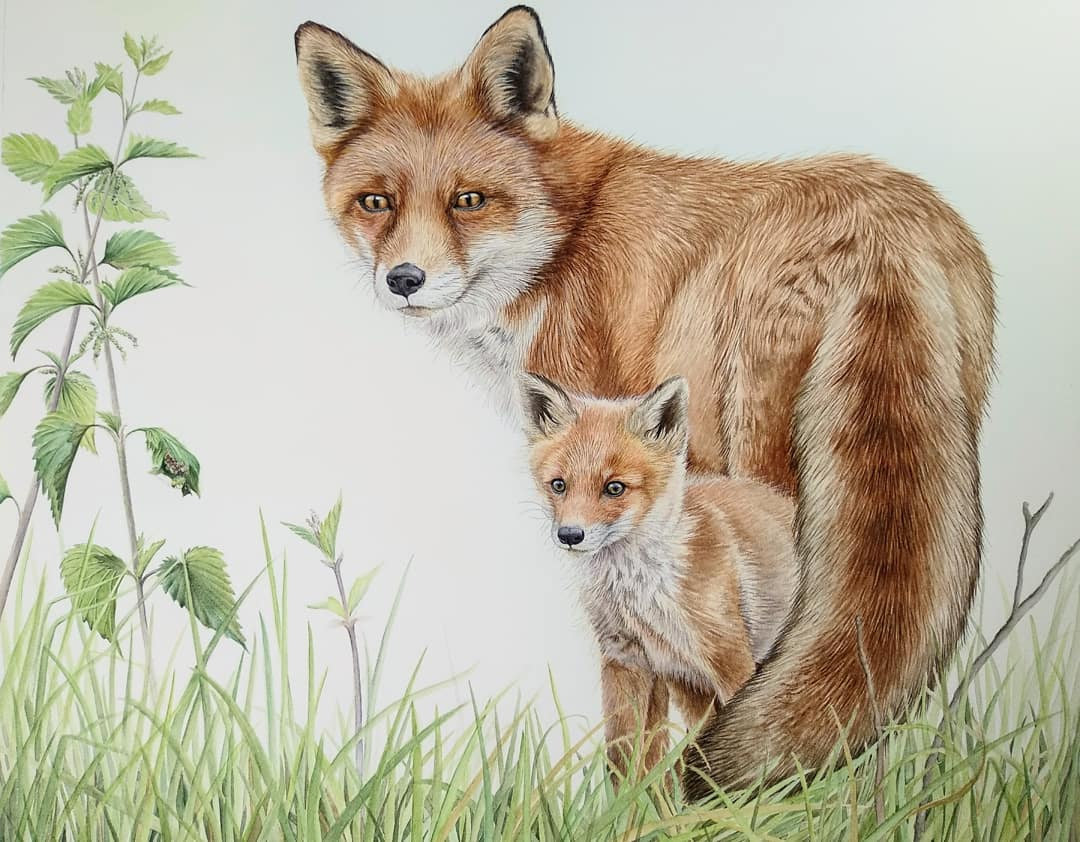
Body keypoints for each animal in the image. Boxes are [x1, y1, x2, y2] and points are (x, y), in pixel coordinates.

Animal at [519, 371, 799, 781]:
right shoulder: (629, 659)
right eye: (559, 485)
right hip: (691, 688)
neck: (640, 595)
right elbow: (626, 758)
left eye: (614, 488)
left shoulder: (729, 655)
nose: (570, 535)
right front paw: (631, 802)